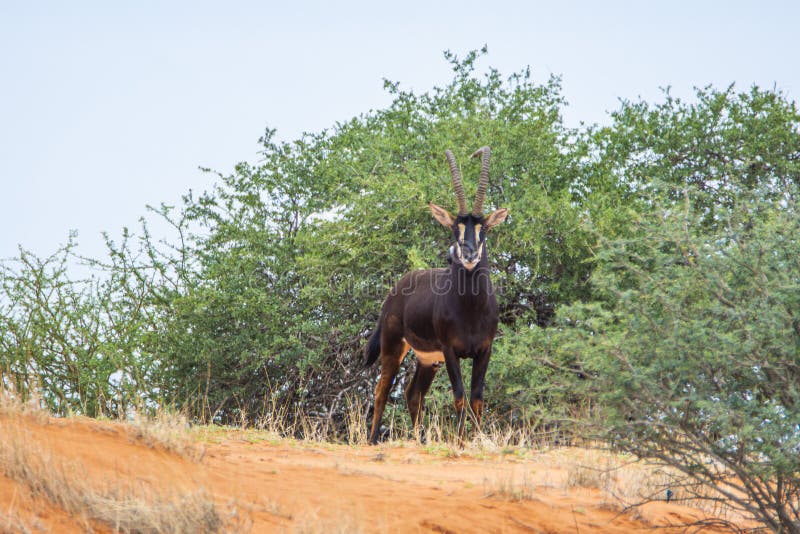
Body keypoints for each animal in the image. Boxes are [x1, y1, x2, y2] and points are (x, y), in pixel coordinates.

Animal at [365, 147, 509, 444]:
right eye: (455, 228)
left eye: (484, 229)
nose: (468, 255)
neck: (471, 308)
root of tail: (395, 292)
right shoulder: (450, 350)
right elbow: (460, 396)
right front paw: (461, 440)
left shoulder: (484, 350)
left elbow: (477, 398)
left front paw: (477, 439)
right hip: (393, 347)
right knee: (382, 389)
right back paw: (371, 439)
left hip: (428, 361)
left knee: (413, 394)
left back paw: (420, 439)